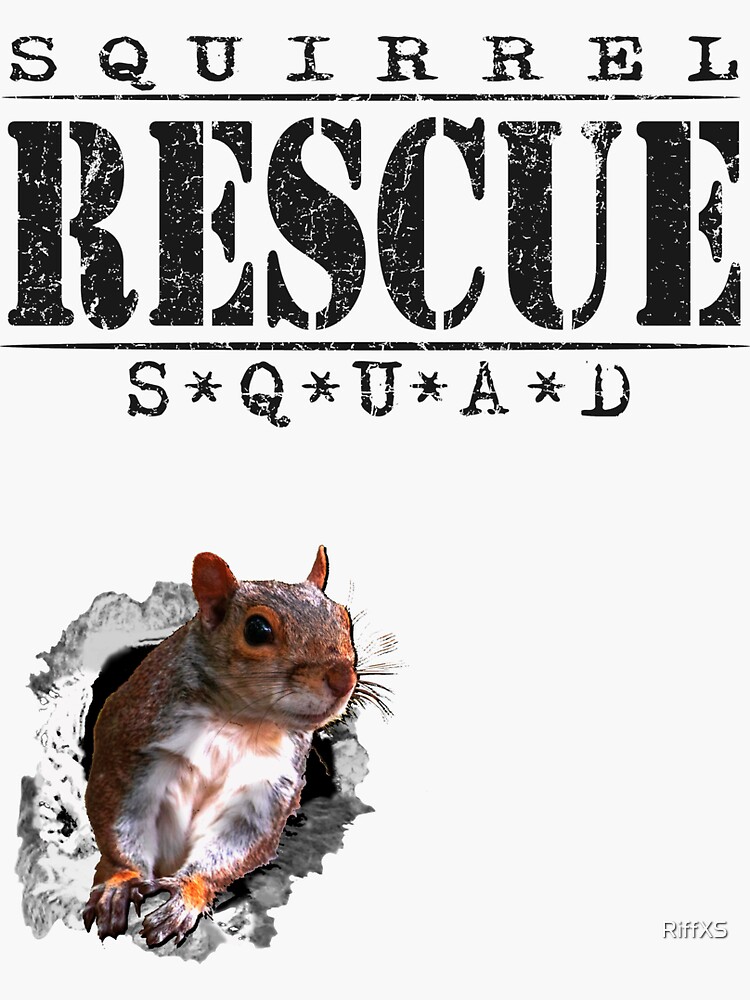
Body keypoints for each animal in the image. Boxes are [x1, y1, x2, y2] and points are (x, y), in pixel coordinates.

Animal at [82, 546, 357, 948]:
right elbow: (119, 821)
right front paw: (120, 881)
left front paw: (188, 894)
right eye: (257, 629)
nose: (343, 678)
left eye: (343, 618)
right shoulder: (131, 746)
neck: (241, 722)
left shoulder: (265, 790)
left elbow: (238, 843)